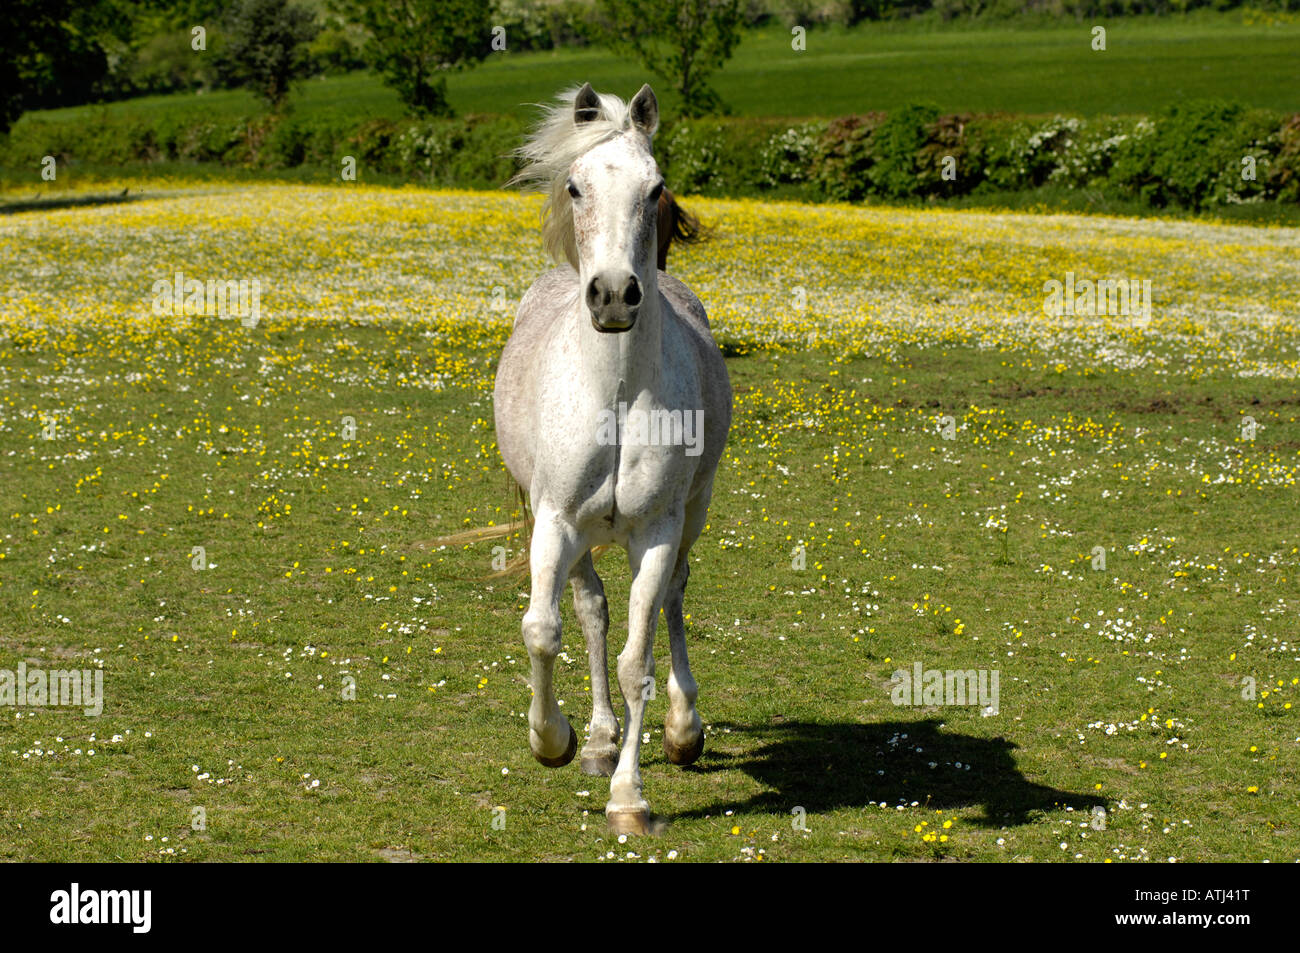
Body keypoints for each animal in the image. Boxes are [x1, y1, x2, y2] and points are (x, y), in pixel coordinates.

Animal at [495, 83, 731, 834]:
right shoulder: (554, 520)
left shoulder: (656, 529)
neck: (618, 394)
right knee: (592, 608)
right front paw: (554, 741)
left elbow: (638, 661)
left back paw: (683, 732)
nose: (613, 294)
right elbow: (543, 630)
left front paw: (630, 799)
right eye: (575, 186)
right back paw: (597, 739)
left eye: (655, 187)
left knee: (673, 596)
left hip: (692, 512)